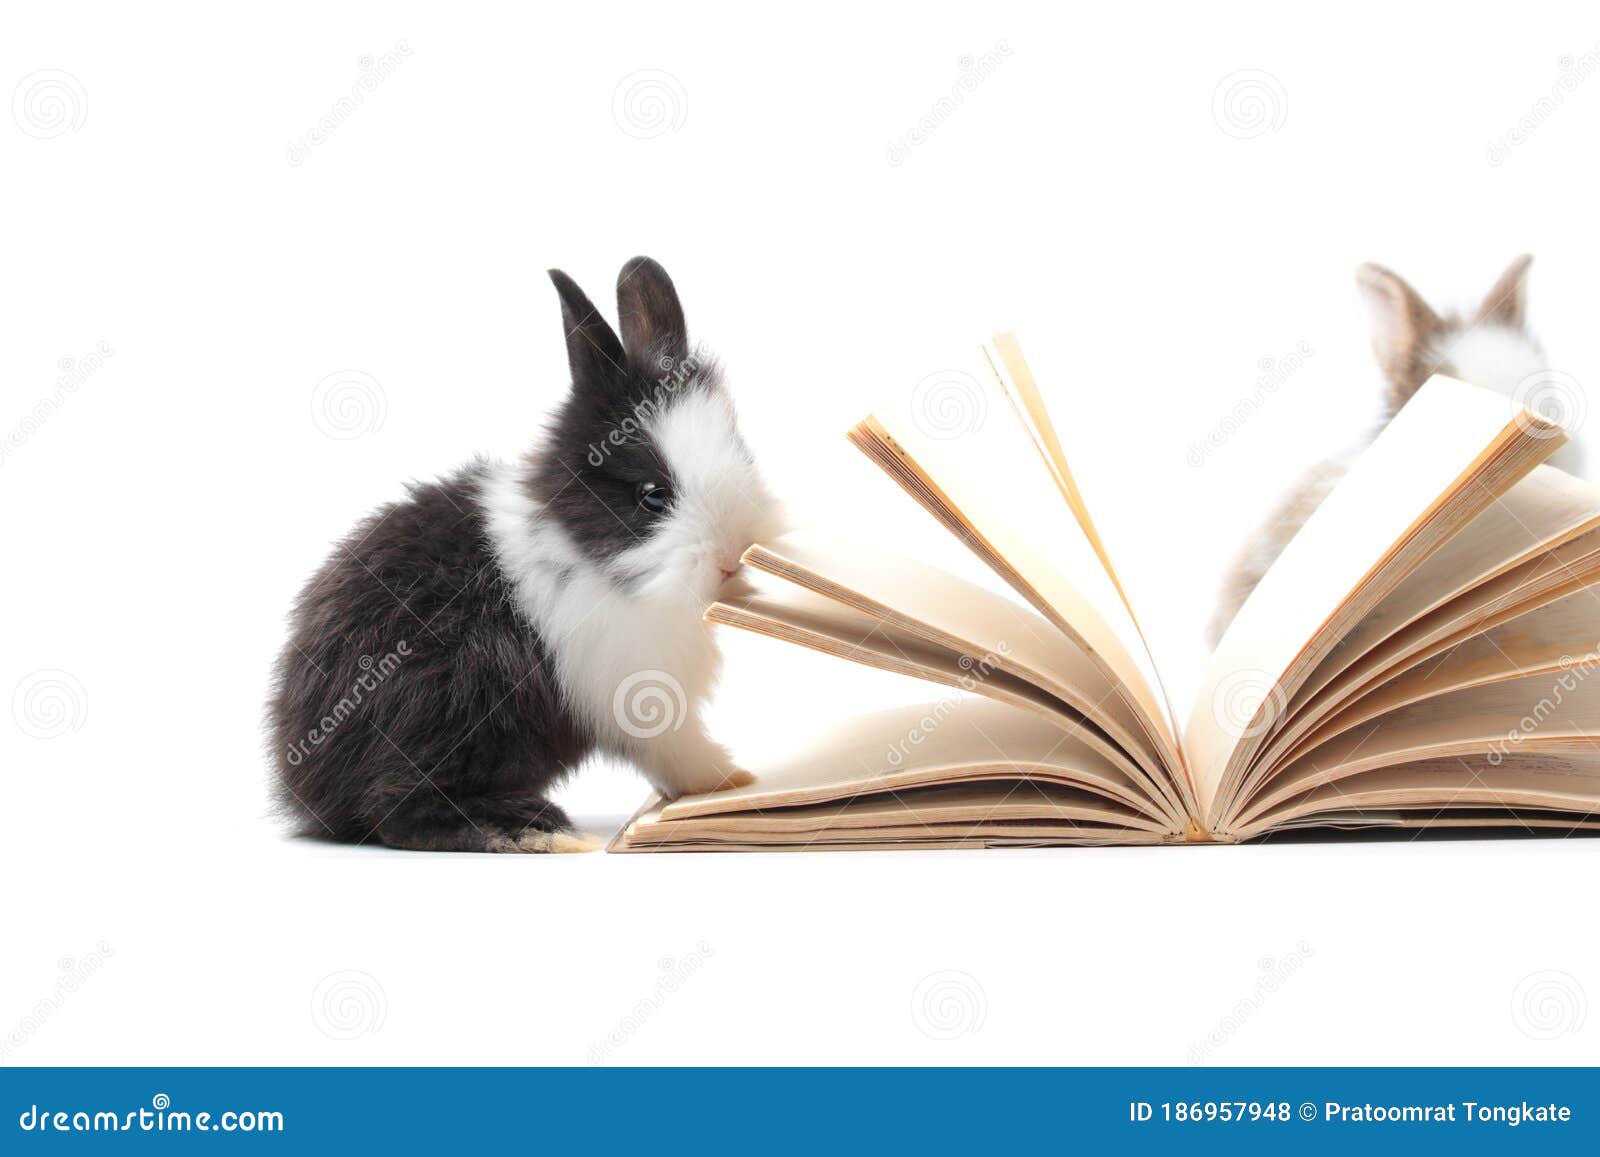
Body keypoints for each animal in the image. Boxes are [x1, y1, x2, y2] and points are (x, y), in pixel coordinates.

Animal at [268, 257, 783, 852]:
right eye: (653, 495)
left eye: (742, 454)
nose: (733, 557)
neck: (587, 556)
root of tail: (305, 784)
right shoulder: (636, 694)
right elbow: (678, 749)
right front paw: (731, 781)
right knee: (397, 806)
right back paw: (533, 830)